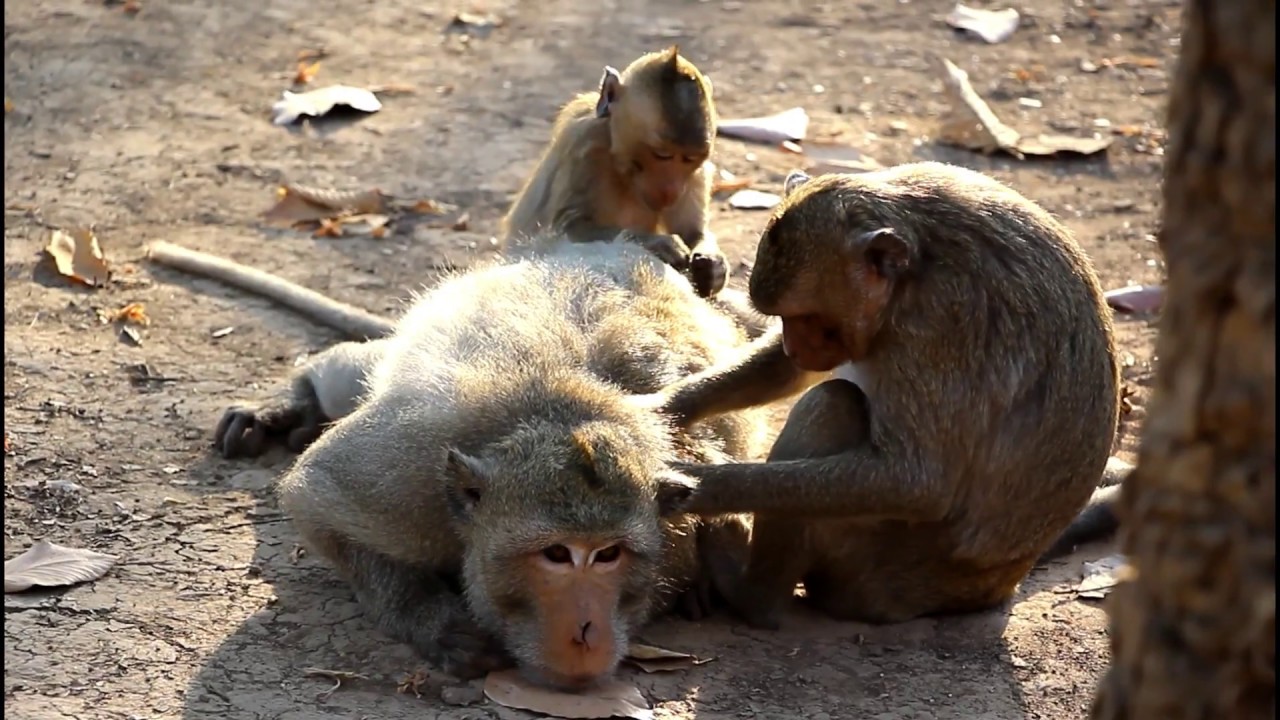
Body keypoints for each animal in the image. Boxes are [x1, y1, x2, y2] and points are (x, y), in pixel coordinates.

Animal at [146, 237, 769, 687]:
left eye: (609, 554)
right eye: (557, 555)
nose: (584, 632)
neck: (565, 408)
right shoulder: (409, 473)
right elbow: (317, 495)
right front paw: (433, 619)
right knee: (358, 374)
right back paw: (292, 399)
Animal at [499, 45, 731, 300]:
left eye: (690, 159)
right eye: (662, 155)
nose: (672, 189)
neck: (622, 167)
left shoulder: (697, 173)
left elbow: (691, 231)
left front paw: (711, 266)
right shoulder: (585, 145)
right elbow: (567, 228)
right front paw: (656, 242)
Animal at [638, 162, 1129, 631]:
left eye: (810, 318)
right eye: (786, 320)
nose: (796, 345)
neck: (915, 268)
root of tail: (995, 587)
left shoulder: (939, 323)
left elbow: (918, 482)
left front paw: (695, 484)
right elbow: (793, 372)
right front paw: (657, 408)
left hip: (882, 567)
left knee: (832, 405)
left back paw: (751, 594)